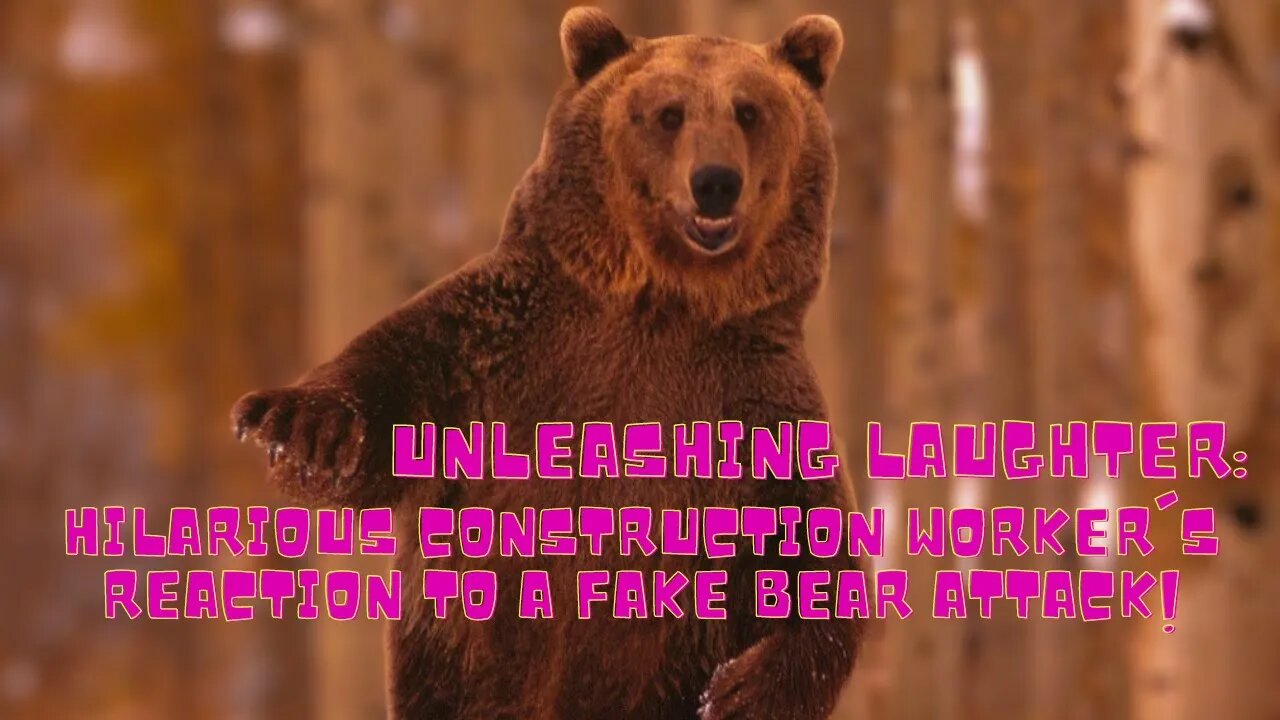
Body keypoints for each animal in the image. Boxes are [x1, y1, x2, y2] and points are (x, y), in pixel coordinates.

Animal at [232, 8, 859, 719]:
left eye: (749, 110)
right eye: (668, 113)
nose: (716, 182)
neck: (663, 301)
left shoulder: (754, 410)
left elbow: (813, 555)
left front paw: (741, 690)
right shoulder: (498, 347)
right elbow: (385, 406)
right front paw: (305, 430)